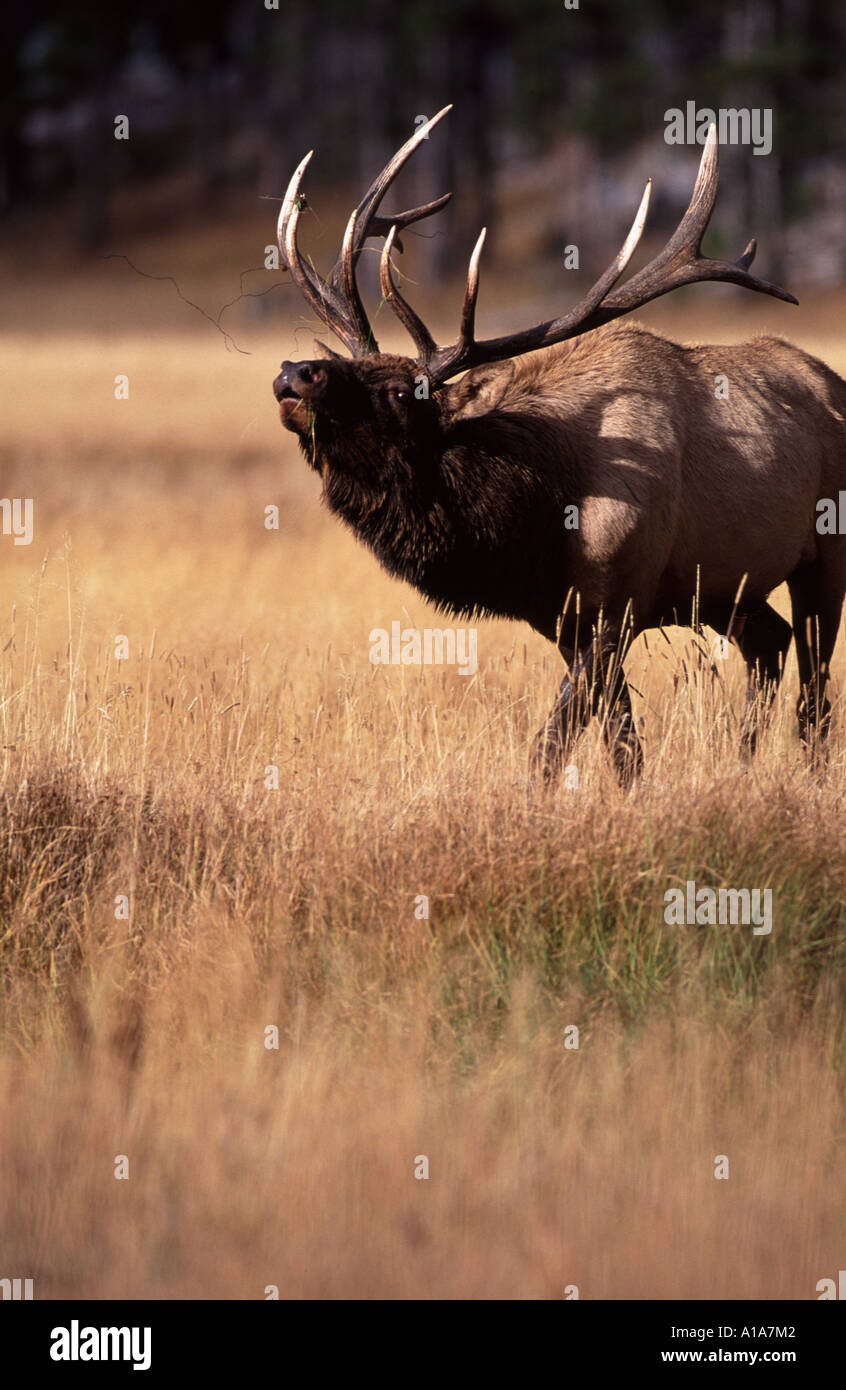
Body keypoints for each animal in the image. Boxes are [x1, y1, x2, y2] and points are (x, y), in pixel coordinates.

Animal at [272, 106, 846, 783]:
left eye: (401, 392)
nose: (297, 371)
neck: (539, 517)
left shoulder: (621, 601)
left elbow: (553, 743)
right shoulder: (563, 618)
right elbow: (622, 744)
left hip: (825, 554)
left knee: (815, 688)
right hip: (729, 587)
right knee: (770, 647)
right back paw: (741, 763)